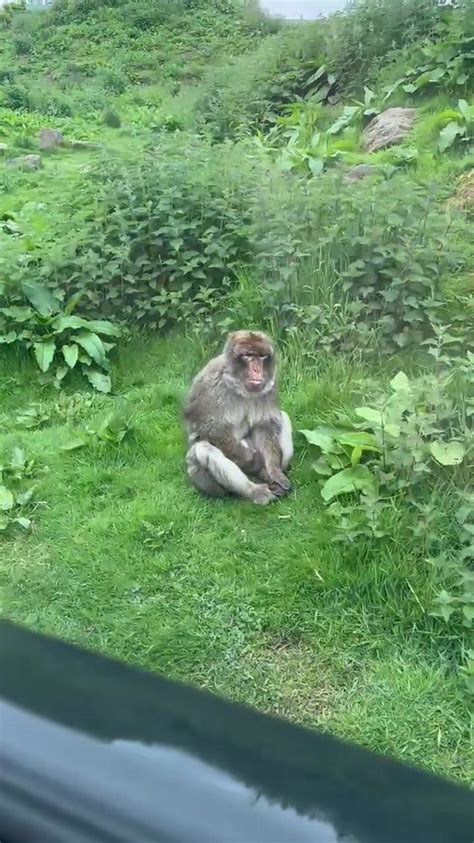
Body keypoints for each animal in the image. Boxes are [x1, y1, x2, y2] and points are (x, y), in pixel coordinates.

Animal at [184, 331, 293, 506]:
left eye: (262, 356)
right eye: (248, 355)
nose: (257, 369)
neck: (238, 386)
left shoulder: (269, 386)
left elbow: (264, 425)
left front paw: (274, 471)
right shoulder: (209, 384)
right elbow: (208, 428)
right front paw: (250, 461)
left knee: (284, 417)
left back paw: (265, 475)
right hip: (203, 480)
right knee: (203, 449)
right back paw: (254, 491)